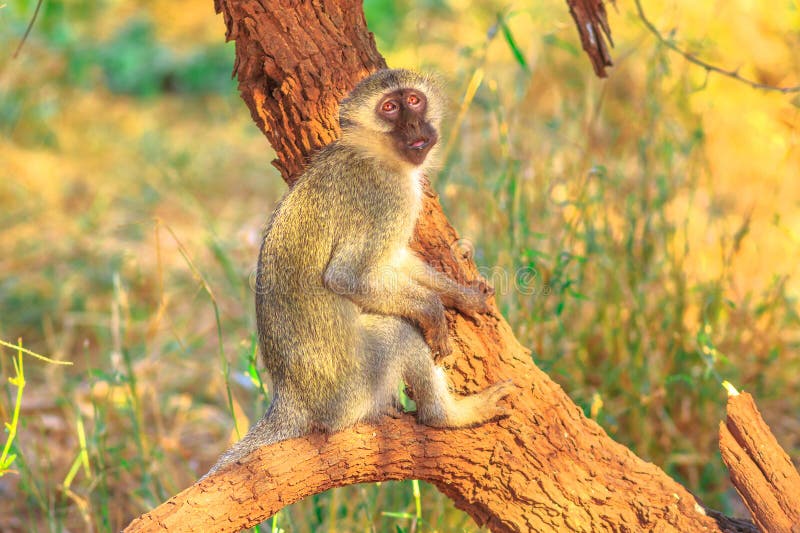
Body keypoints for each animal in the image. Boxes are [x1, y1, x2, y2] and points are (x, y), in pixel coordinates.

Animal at [208, 69, 513, 474]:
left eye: (413, 101)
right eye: (390, 108)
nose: (414, 124)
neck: (373, 151)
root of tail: (293, 398)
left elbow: (396, 260)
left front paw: (463, 297)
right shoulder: (387, 196)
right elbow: (347, 276)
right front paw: (434, 311)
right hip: (355, 389)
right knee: (398, 332)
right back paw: (446, 416)